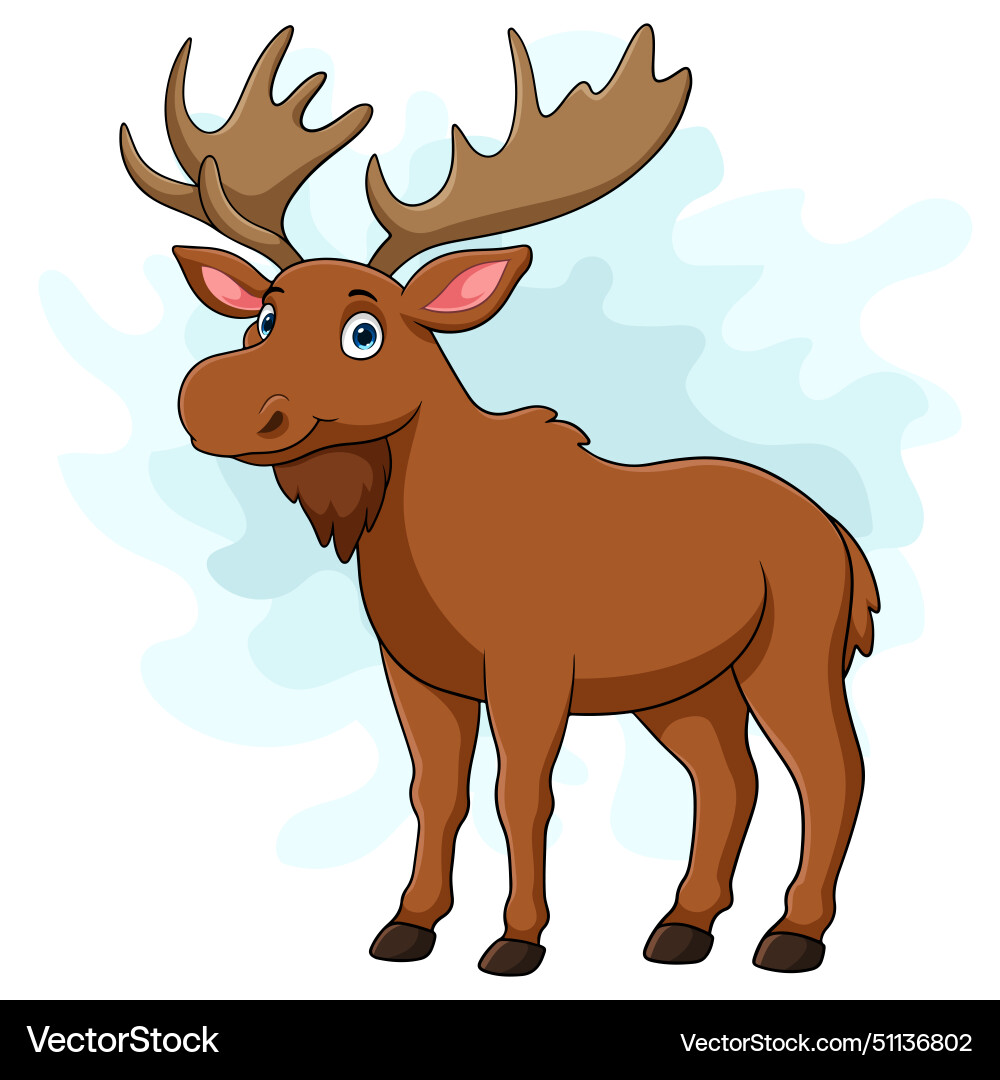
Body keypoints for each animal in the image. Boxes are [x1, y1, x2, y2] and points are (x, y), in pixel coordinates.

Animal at [120, 25, 879, 977]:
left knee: (833, 771)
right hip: (683, 687)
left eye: (364, 330)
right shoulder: (415, 670)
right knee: (726, 777)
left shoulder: (531, 665)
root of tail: (845, 539)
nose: (214, 400)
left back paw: (794, 934)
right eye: (263, 315)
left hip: (795, 650)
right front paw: (408, 924)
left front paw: (517, 938)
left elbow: (522, 793)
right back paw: (682, 926)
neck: (415, 541)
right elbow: (434, 791)